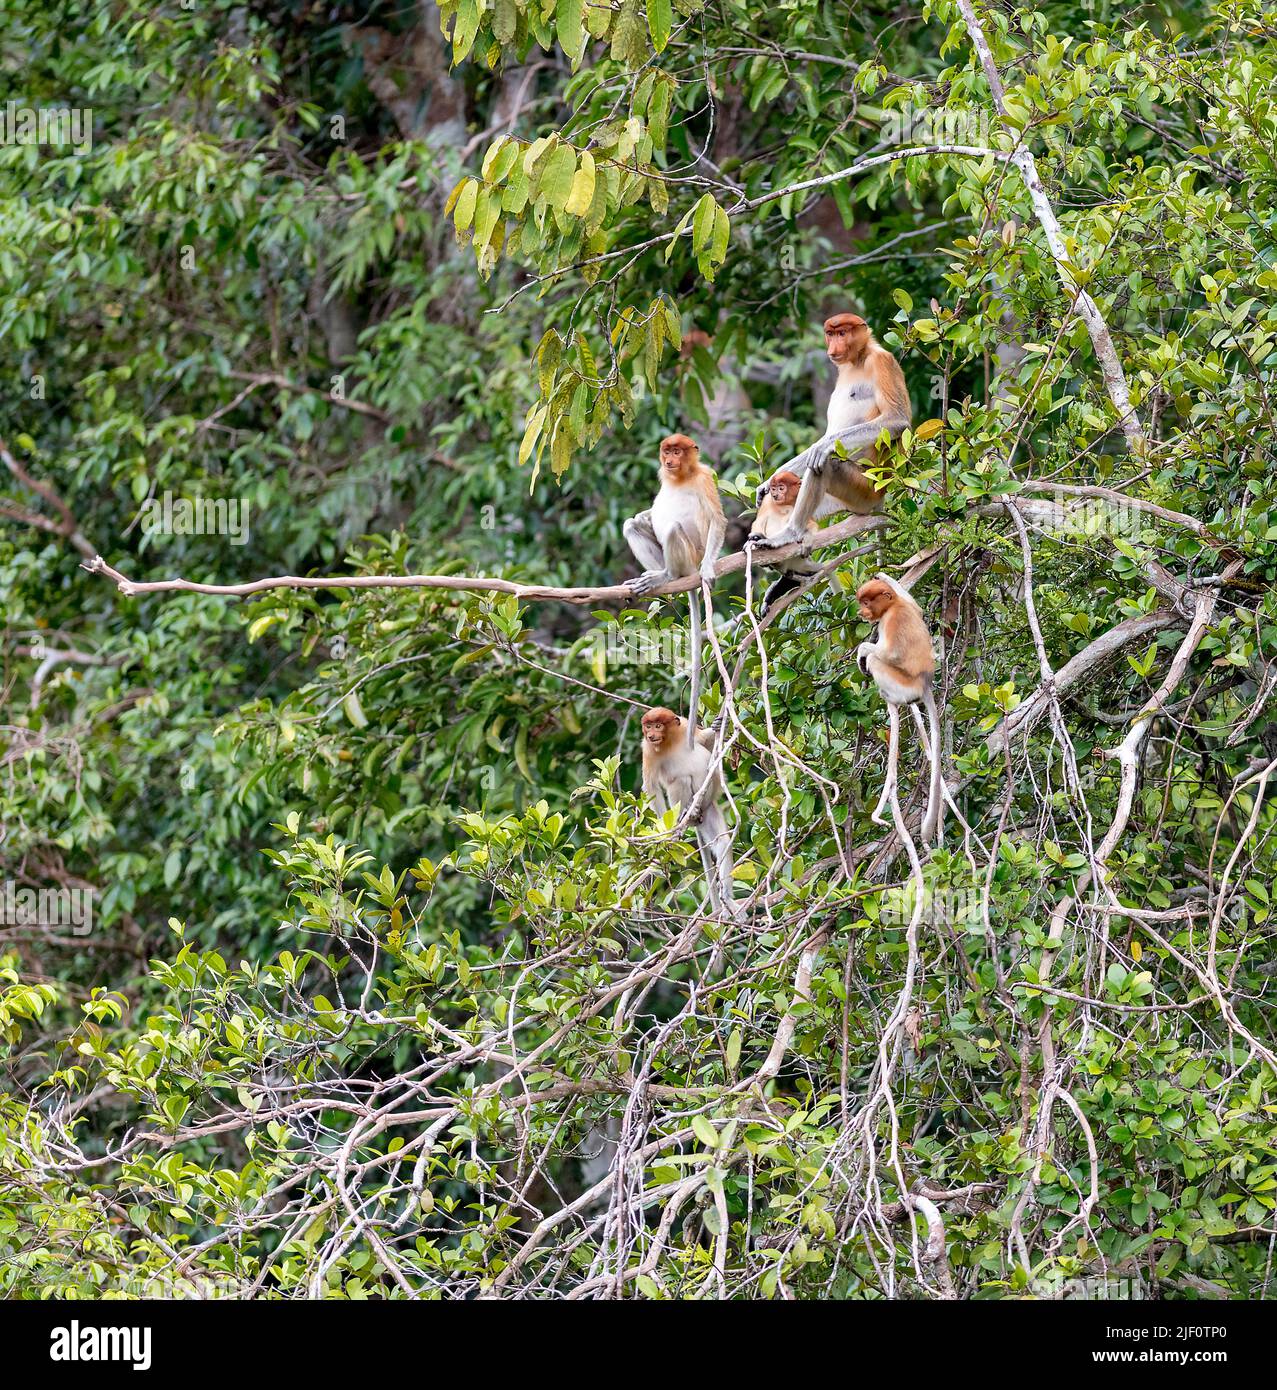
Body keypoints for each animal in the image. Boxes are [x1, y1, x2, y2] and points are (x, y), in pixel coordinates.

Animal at [623, 435, 726, 747]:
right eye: (667, 451)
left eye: (678, 451)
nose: (669, 460)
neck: (682, 476)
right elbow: (642, 518)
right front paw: (643, 516)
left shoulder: (705, 476)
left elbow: (717, 519)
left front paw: (709, 570)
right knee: (630, 525)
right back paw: (656, 580)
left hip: (689, 556)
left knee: (671, 528)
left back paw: (667, 576)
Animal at [640, 706, 736, 919]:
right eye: (648, 726)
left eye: (658, 726)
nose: (651, 735)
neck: (669, 741)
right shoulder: (648, 751)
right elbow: (652, 788)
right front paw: (666, 833)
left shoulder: (684, 726)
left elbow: (703, 741)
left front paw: (717, 726)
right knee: (681, 780)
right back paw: (685, 813)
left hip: (709, 808)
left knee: (722, 842)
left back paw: (727, 899)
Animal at [746, 469, 820, 608]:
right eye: (773, 489)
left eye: (781, 488)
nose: (775, 495)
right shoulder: (768, 501)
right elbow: (759, 520)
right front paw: (756, 538)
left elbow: (811, 524)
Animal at [751, 313, 912, 553]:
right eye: (831, 334)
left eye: (842, 333)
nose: (834, 346)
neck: (859, 358)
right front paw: (766, 485)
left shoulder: (882, 362)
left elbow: (897, 418)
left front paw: (822, 447)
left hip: (864, 490)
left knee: (826, 466)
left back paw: (790, 533)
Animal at [855, 575, 943, 846]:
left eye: (866, 602)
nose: (861, 611)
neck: (892, 606)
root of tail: (924, 683)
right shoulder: (907, 607)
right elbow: (918, 609)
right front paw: (885, 575)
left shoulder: (894, 619)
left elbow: (892, 654)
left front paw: (862, 650)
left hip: (902, 683)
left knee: (878, 661)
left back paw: (889, 696)